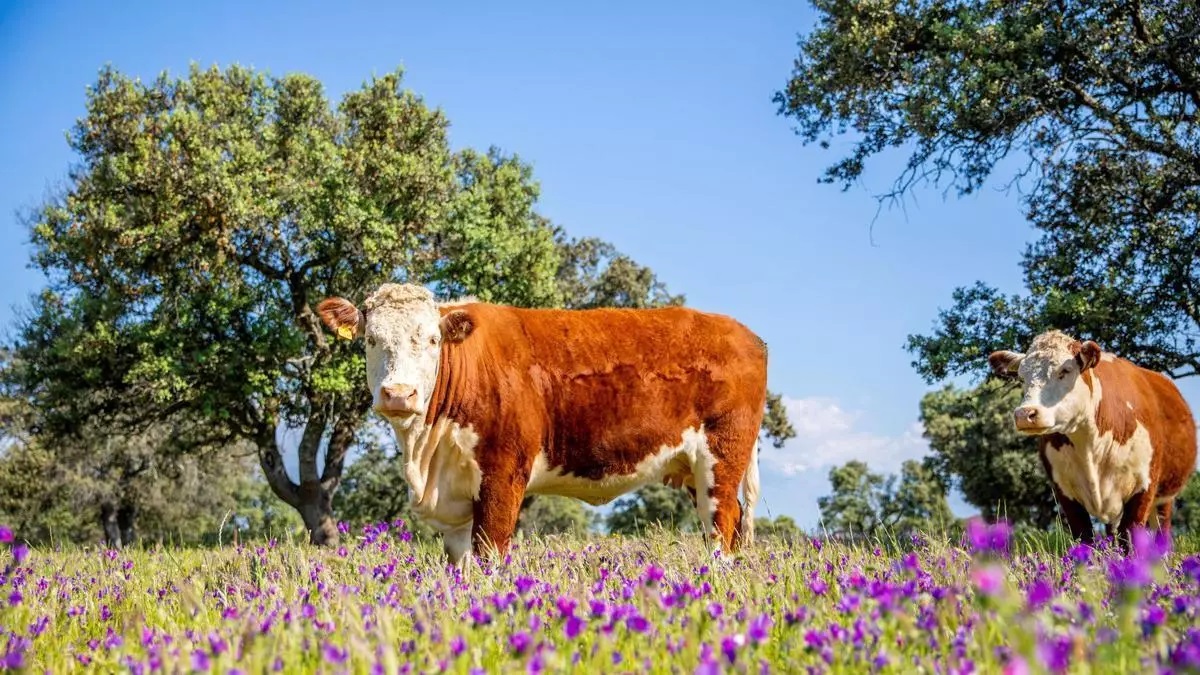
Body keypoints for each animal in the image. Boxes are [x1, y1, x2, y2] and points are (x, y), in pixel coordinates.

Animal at [317, 283, 768, 566]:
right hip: (694, 468)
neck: (427, 455)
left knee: (723, 525)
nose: (399, 394)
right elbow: (459, 564)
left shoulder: (502, 474)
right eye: (371, 340)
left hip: (721, 459)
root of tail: (744, 333)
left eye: (431, 340)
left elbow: (490, 555)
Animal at [988, 330, 1196, 548]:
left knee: (1162, 529)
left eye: (1065, 370)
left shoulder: (1144, 485)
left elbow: (1129, 536)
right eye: (1022, 376)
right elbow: (1084, 536)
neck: (1089, 445)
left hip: (1165, 497)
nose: (1024, 414)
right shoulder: (1064, 490)